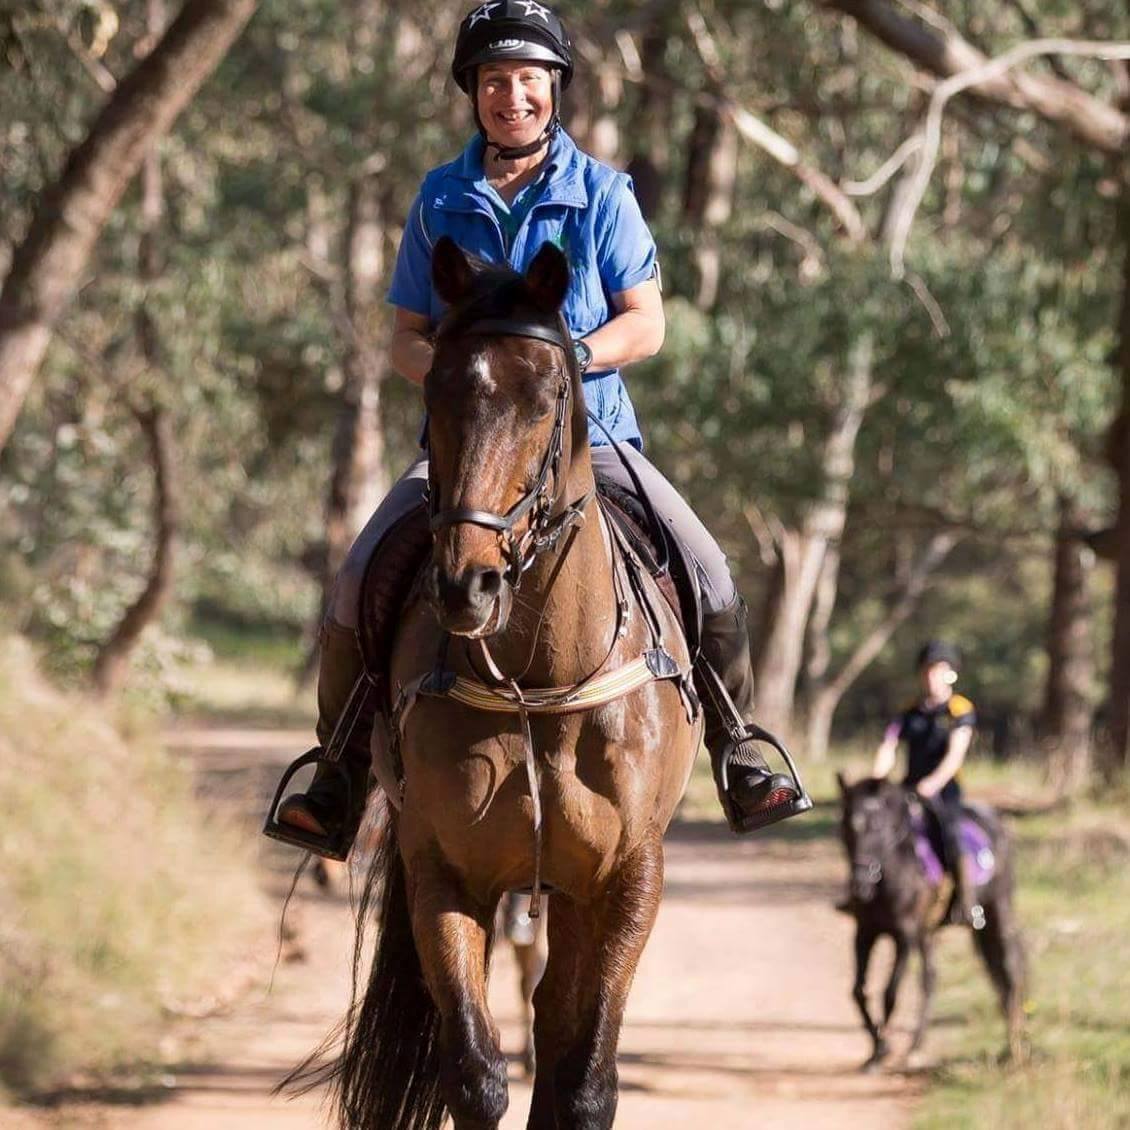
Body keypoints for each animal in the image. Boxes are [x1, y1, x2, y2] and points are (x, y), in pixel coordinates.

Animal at [310, 236, 701, 1130]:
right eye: (436, 386)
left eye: (549, 395)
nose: (468, 585)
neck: (539, 681)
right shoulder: (442, 872)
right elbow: (478, 1074)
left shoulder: (628, 879)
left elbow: (585, 1080)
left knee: (557, 1031)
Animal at [837, 775, 1027, 1070]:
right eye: (845, 826)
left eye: (877, 825)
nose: (859, 886)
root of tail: (997, 820)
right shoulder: (865, 932)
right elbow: (858, 991)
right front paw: (878, 1050)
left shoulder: (904, 935)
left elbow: (890, 993)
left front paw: (884, 1049)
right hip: (927, 932)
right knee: (930, 980)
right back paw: (916, 1045)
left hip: (998, 908)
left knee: (1009, 969)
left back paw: (1014, 1048)